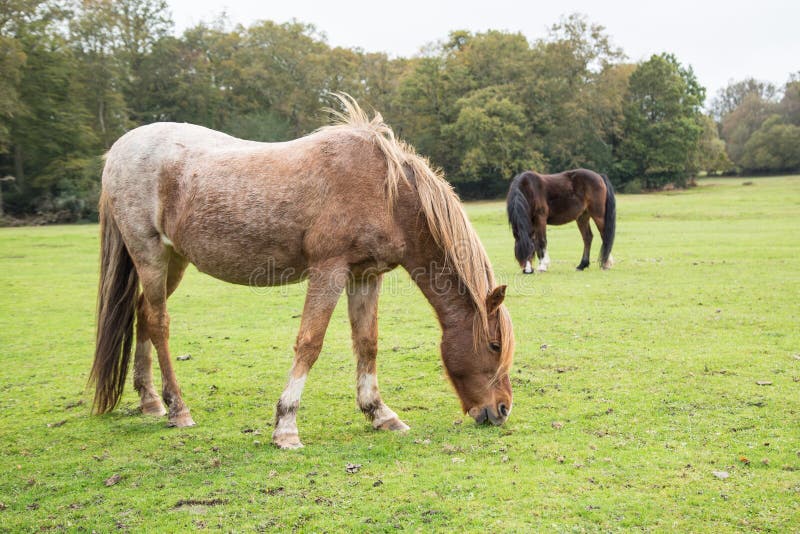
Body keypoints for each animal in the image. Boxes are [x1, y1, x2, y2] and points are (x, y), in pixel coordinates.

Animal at [89, 94, 514, 449]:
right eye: (494, 345)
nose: (502, 409)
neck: (387, 193)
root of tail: (119, 150)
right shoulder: (329, 271)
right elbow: (310, 343)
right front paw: (286, 427)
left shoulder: (365, 275)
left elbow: (367, 343)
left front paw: (380, 414)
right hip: (149, 253)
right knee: (158, 323)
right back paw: (178, 408)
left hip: (173, 260)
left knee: (143, 315)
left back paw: (150, 401)